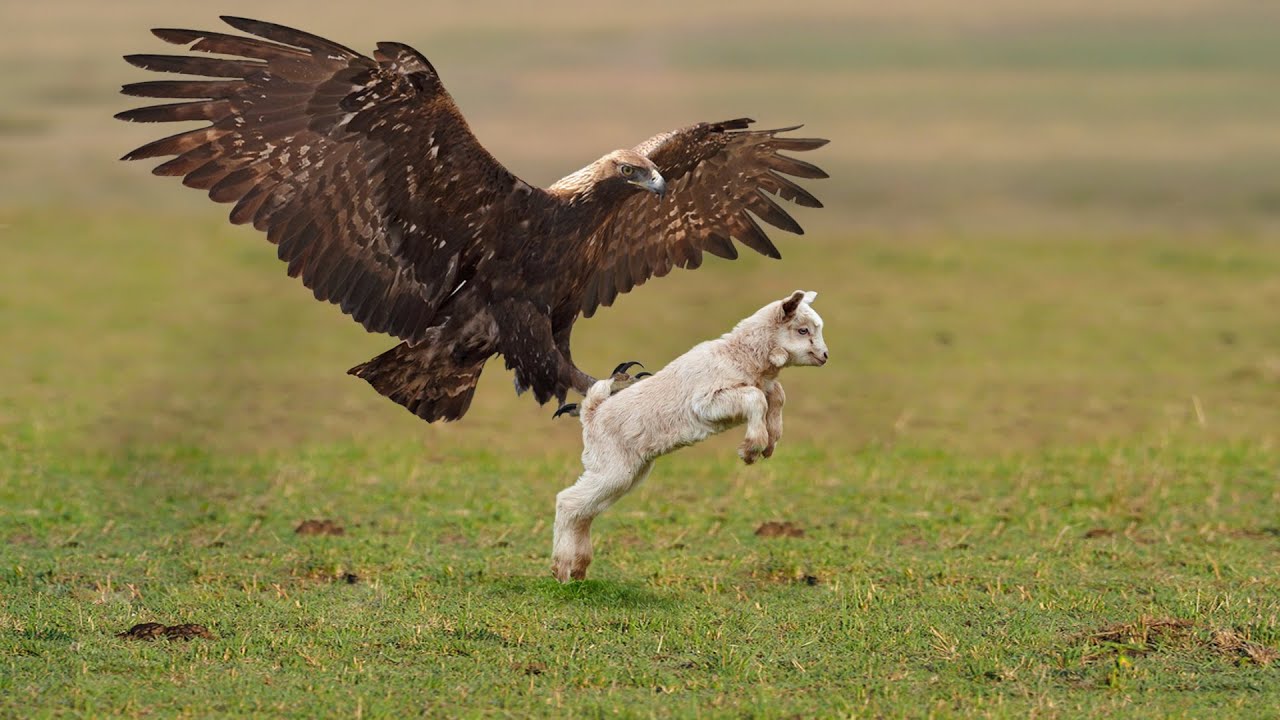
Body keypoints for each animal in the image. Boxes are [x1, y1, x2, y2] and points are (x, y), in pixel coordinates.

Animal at [551, 290, 828, 582]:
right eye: (802, 330)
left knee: (585, 511)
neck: (739, 356)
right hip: (610, 466)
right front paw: (751, 449)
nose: (825, 355)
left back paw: (577, 568)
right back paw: (561, 568)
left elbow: (776, 395)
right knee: (568, 502)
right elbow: (756, 398)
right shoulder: (706, 402)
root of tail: (592, 413)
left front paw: (771, 440)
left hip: (628, 472)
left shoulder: (762, 386)